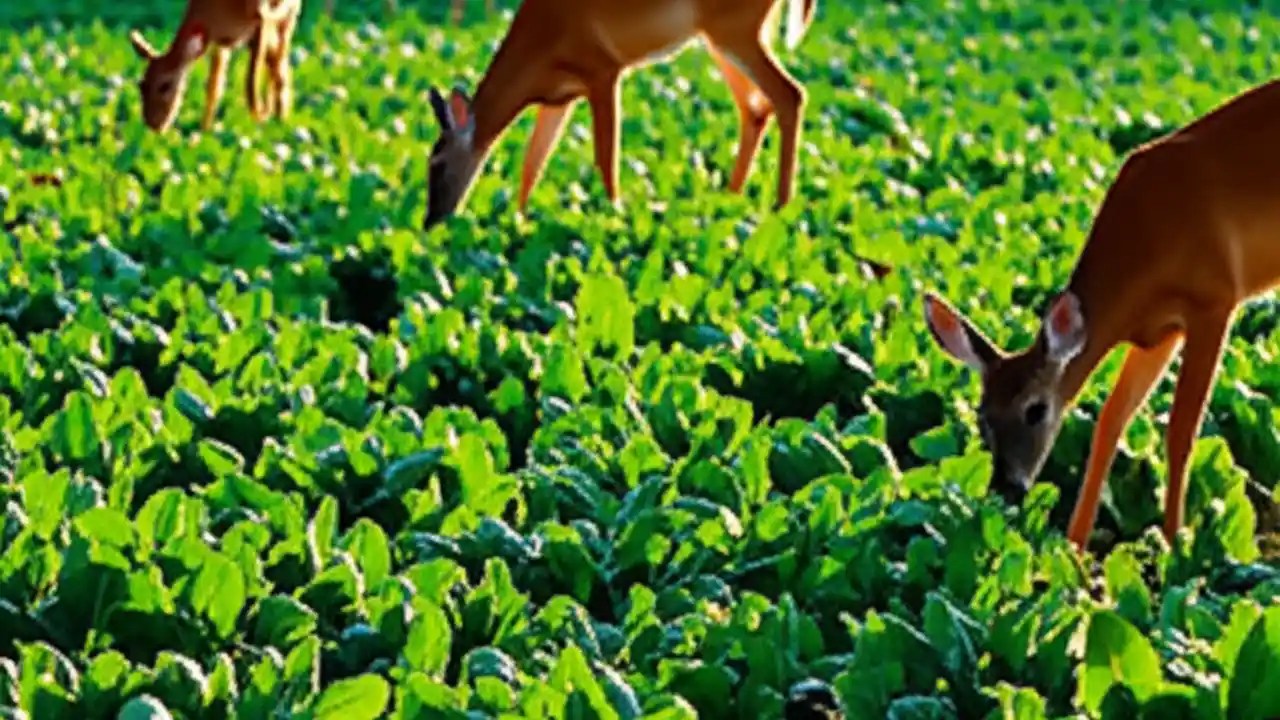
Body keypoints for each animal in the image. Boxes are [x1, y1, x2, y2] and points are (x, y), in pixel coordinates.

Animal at [128, 0, 302, 133]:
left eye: (165, 86)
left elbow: (251, 82)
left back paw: (279, 120)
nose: (153, 126)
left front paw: (260, 117)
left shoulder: (260, 20)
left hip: (288, 19)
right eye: (141, 85)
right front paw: (204, 132)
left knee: (279, 66)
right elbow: (214, 88)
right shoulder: (219, 43)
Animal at [420, 0, 817, 230]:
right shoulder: (558, 99)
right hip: (721, 38)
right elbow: (532, 166)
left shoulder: (604, 71)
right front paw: (519, 223)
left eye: (436, 162)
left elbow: (604, 158)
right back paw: (728, 201)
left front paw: (613, 217)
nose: (430, 221)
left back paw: (781, 207)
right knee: (755, 108)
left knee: (789, 94)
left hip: (735, 31)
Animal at [922, 77, 1280, 553]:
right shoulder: (1158, 332)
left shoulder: (1214, 300)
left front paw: (1172, 544)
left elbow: (1181, 431)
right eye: (982, 414)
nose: (1007, 488)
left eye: (1035, 409)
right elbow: (1110, 422)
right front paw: (1075, 549)